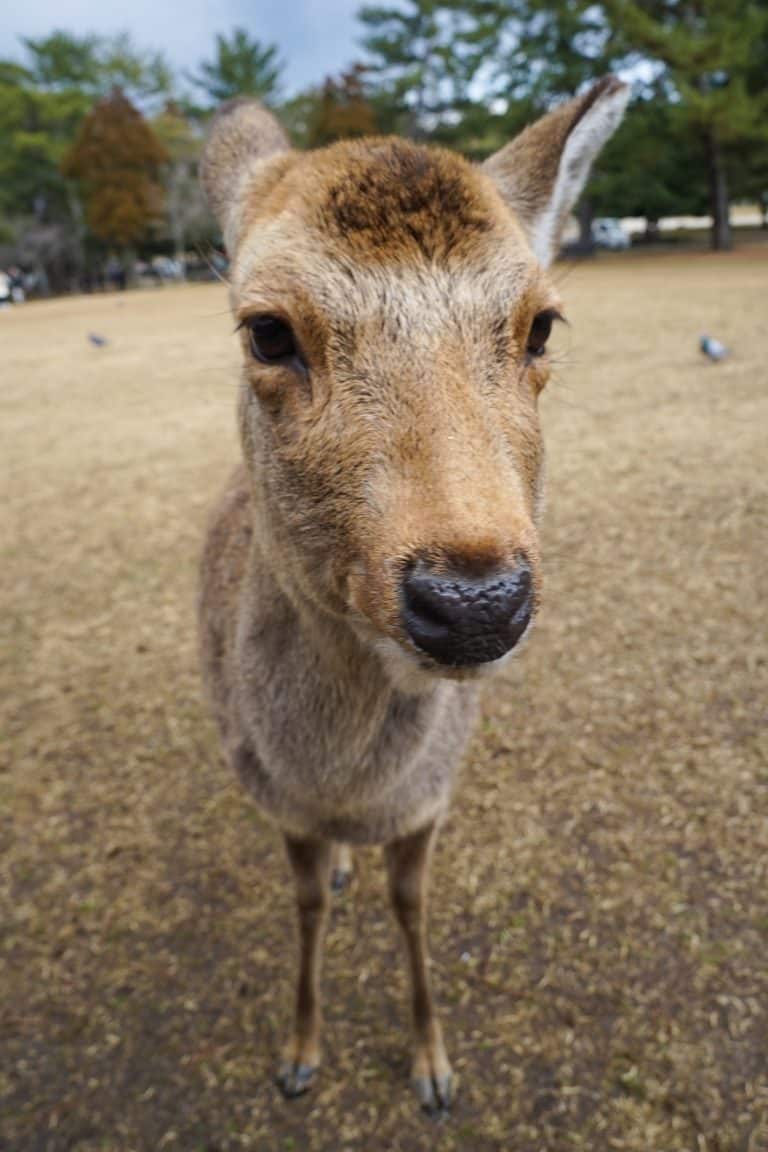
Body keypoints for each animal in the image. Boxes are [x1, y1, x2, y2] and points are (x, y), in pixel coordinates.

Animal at [198, 76, 628, 1113]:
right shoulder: (276, 801)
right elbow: (304, 909)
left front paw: (434, 1069)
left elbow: (412, 908)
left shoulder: (432, 796)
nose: (473, 600)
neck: (347, 784)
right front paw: (299, 1056)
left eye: (541, 324)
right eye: (266, 330)